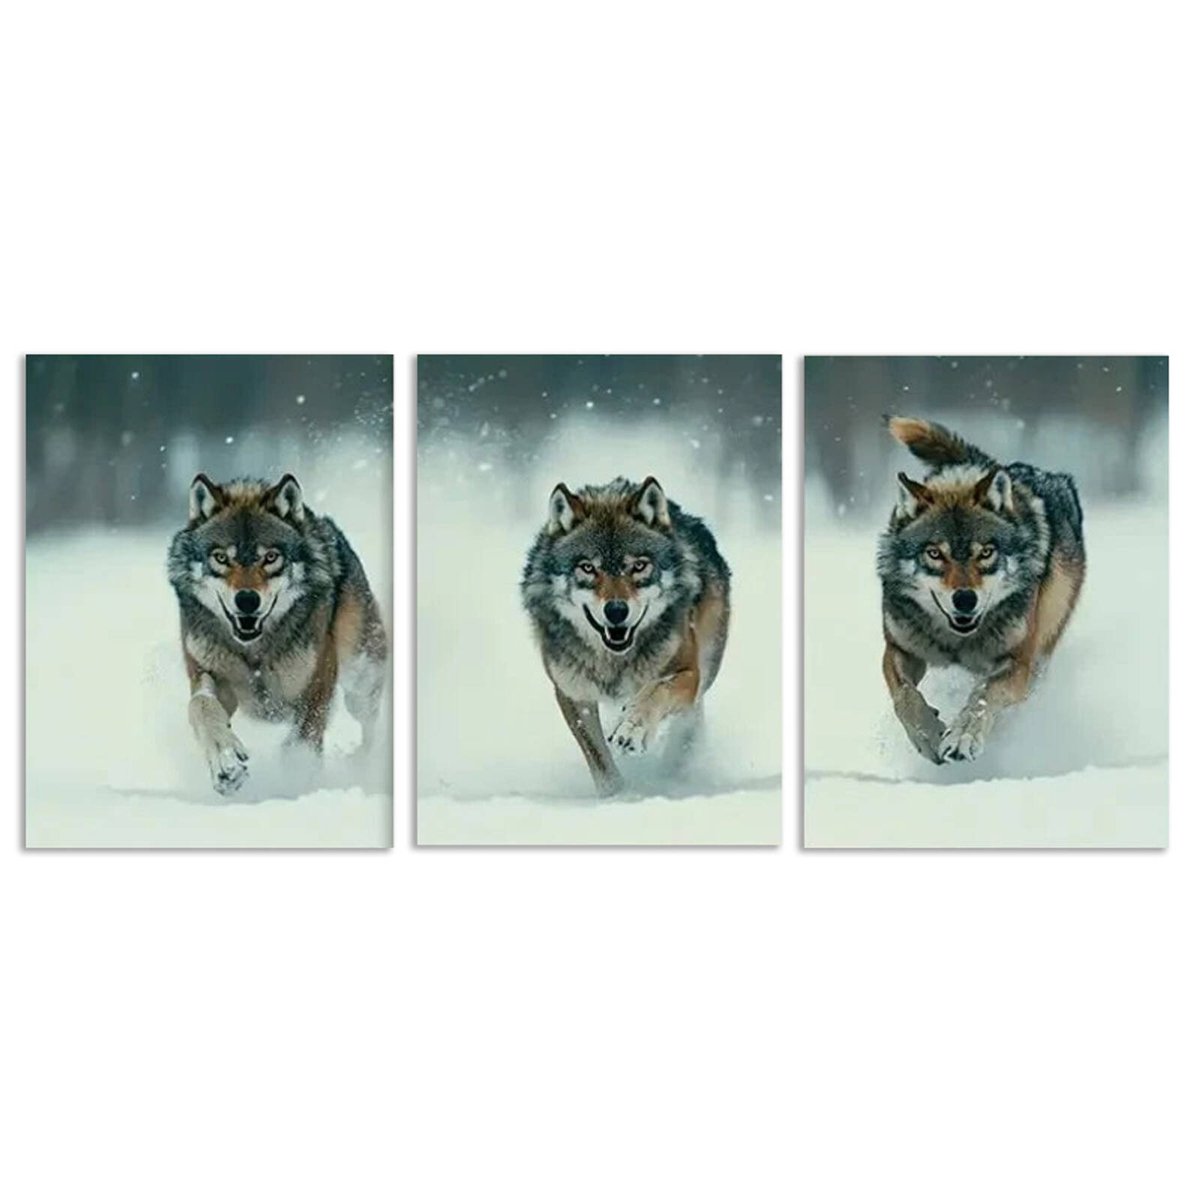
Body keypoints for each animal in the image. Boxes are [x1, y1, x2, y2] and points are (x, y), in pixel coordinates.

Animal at [167, 473, 387, 795]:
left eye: (270, 557)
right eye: (221, 557)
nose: (247, 600)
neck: (255, 650)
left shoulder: (317, 686)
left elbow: (301, 746)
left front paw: (294, 783)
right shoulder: (208, 675)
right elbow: (201, 706)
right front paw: (225, 762)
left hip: (362, 682)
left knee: (370, 727)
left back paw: (364, 765)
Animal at [521, 476, 731, 796]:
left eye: (639, 566)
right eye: (588, 568)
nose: (617, 610)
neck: (614, 660)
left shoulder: (688, 672)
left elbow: (655, 692)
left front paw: (633, 729)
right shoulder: (573, 694)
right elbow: (599, 760)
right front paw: (616, 797)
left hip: (705, 670)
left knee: (687, 720)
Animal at [877, 416, 1085, 764]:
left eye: (986, 552)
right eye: (935, 553)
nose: (965, 600)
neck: (958, 641)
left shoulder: (1017, 662)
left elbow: (983, 696)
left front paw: (962, 736)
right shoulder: (900, 650)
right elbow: (906, 698)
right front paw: (929, 737)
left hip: (1041, 653)